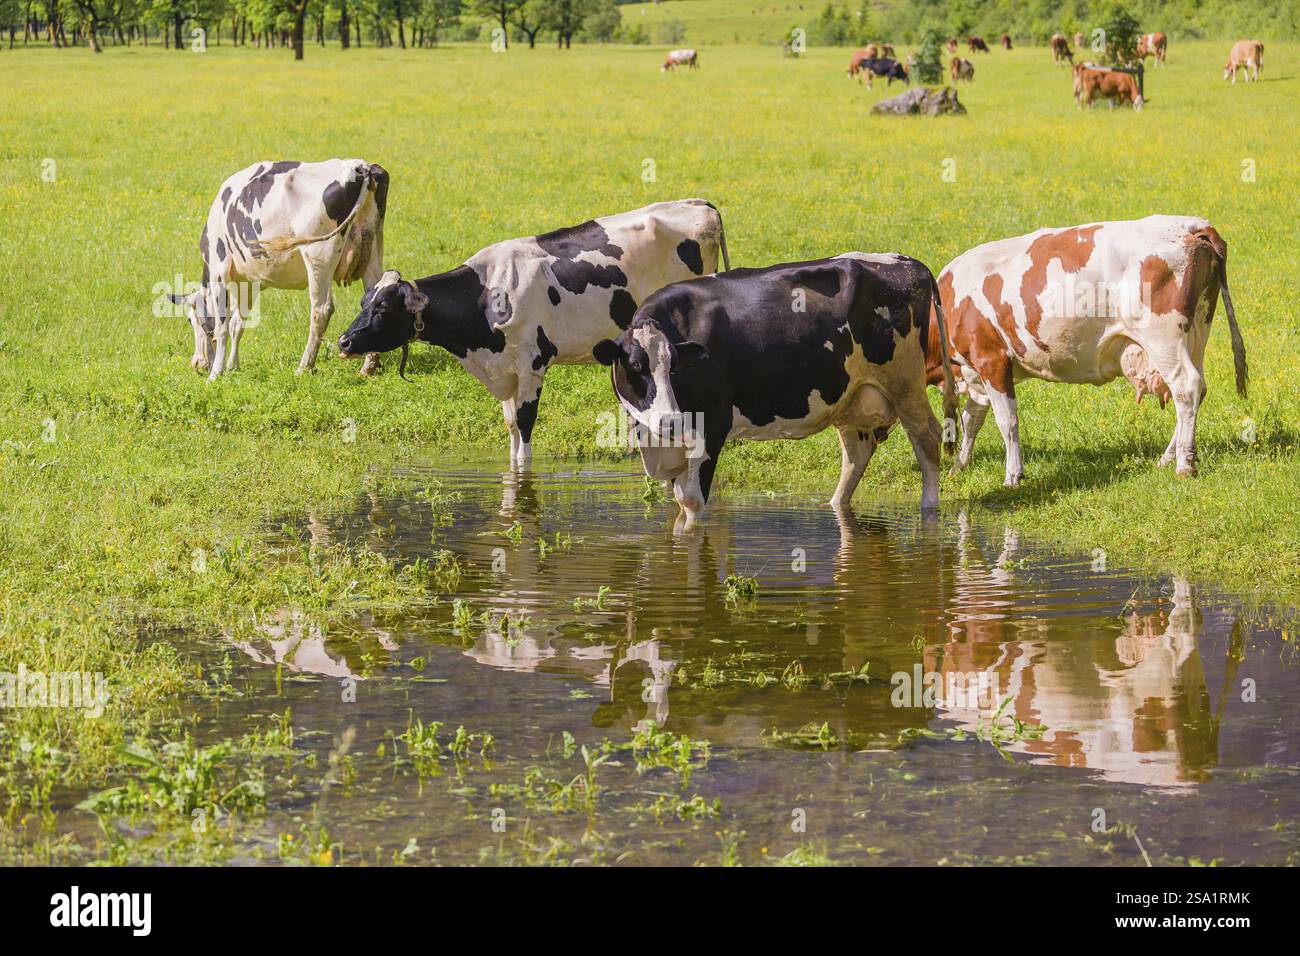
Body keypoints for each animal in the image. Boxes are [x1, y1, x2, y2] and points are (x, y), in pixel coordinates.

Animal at [169, 159, 388, 382]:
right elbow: (237, 324)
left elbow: (222, 326)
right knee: (374, 297)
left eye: (191, 320)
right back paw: (369, 366)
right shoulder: (251, 282)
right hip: (372, 248)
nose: (198, 364)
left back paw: (304, 366)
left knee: (321, 310)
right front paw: (232, 366)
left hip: (318, 255)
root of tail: (360, 166)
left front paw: (215, 374)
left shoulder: (218, 268)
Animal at [335, 200, 729, 468]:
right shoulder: (505, 370)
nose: (344, 341)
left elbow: (525, 423)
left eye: (382, 309)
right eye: (363, 301)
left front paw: (524, 469)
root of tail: (698, 204)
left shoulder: (532, 363)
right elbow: (510, 425)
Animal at [593, 254, 958, 526]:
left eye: (675, 367)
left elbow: (691, 503)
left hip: (905, 383)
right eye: (636, 366)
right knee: (857, 452)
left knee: (927, 437)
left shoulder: (711, 426)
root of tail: (907, 262)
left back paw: (929, 511)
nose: (670, 421)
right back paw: (835, 505)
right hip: (850, 396)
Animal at [922, 216, 1248, 486]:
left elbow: (1007, 421)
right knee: (1197, 390)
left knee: (1186, 388)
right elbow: (972, 419)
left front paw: (1013, 475)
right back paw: (1168, 457)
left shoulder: (991, 359)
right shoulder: (976, 371)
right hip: (1197, 332)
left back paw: (1184, 465)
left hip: (1163, 339)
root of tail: (1191, 225)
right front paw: (959, 465)